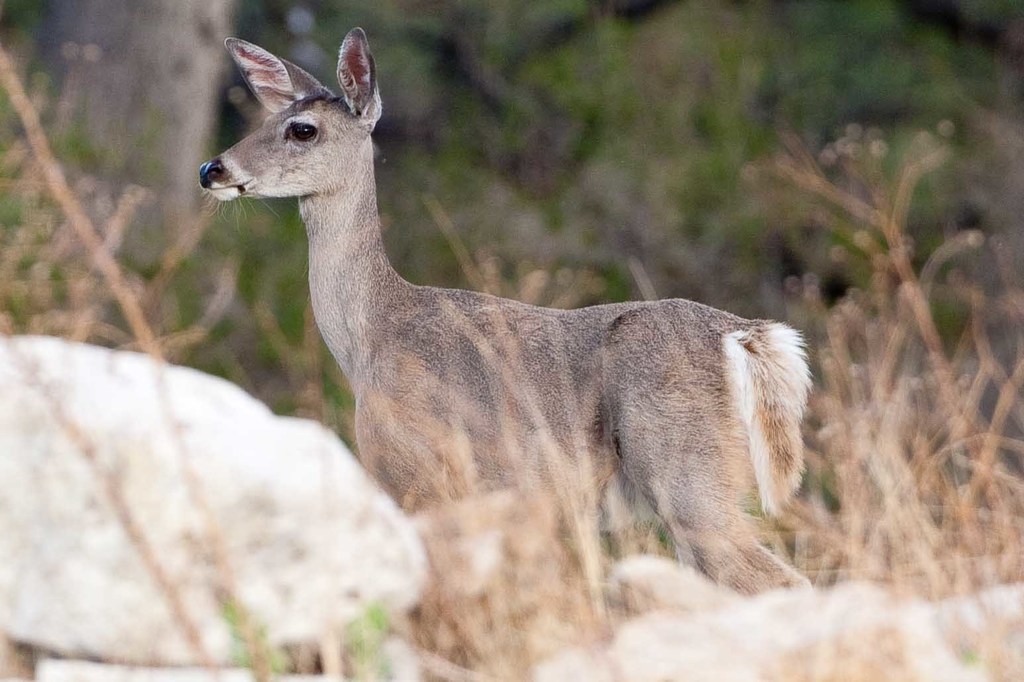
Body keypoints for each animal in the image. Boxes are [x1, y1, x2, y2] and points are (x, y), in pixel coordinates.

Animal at [199, 28, 812, 594]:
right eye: (265, 118)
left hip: (686, 474)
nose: (213, 169)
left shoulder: (417, 471)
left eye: (302, 129)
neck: (371, 335)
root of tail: (746, 336)